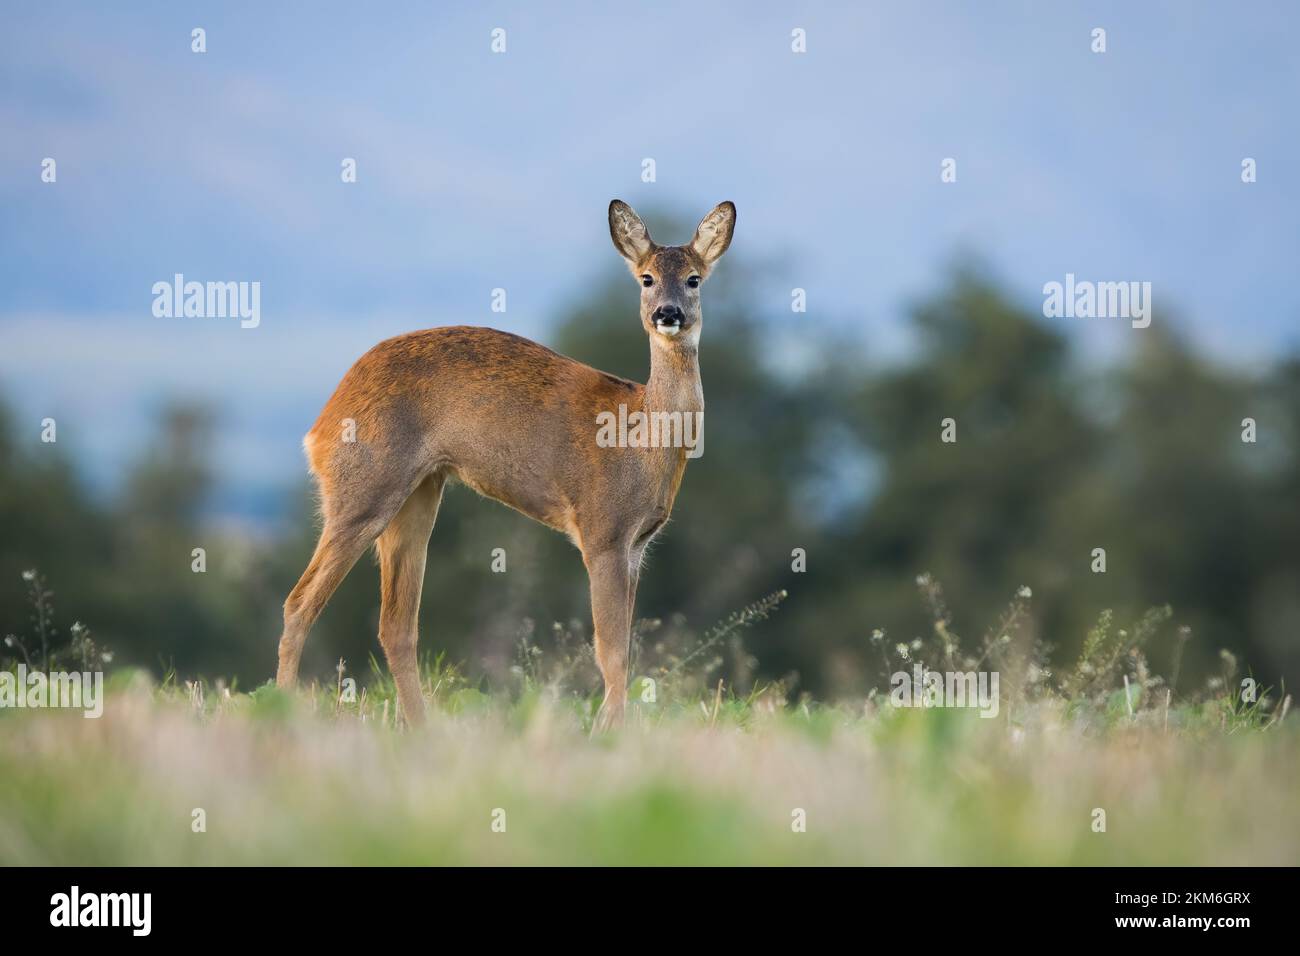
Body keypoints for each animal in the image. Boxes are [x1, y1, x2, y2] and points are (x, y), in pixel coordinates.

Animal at [275, 200, 735, 730]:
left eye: (694, 278)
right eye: (646, 278)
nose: (668, 313)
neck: (641, 438)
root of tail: (321, 424)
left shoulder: (637, 544)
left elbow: (625, 647)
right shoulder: (602, 531)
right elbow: (611, 651)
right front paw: (607, 732)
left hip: (419, 493)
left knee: (395, 624)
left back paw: (422, 728)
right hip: (362, 488)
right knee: (300, 602)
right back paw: (282, 707)